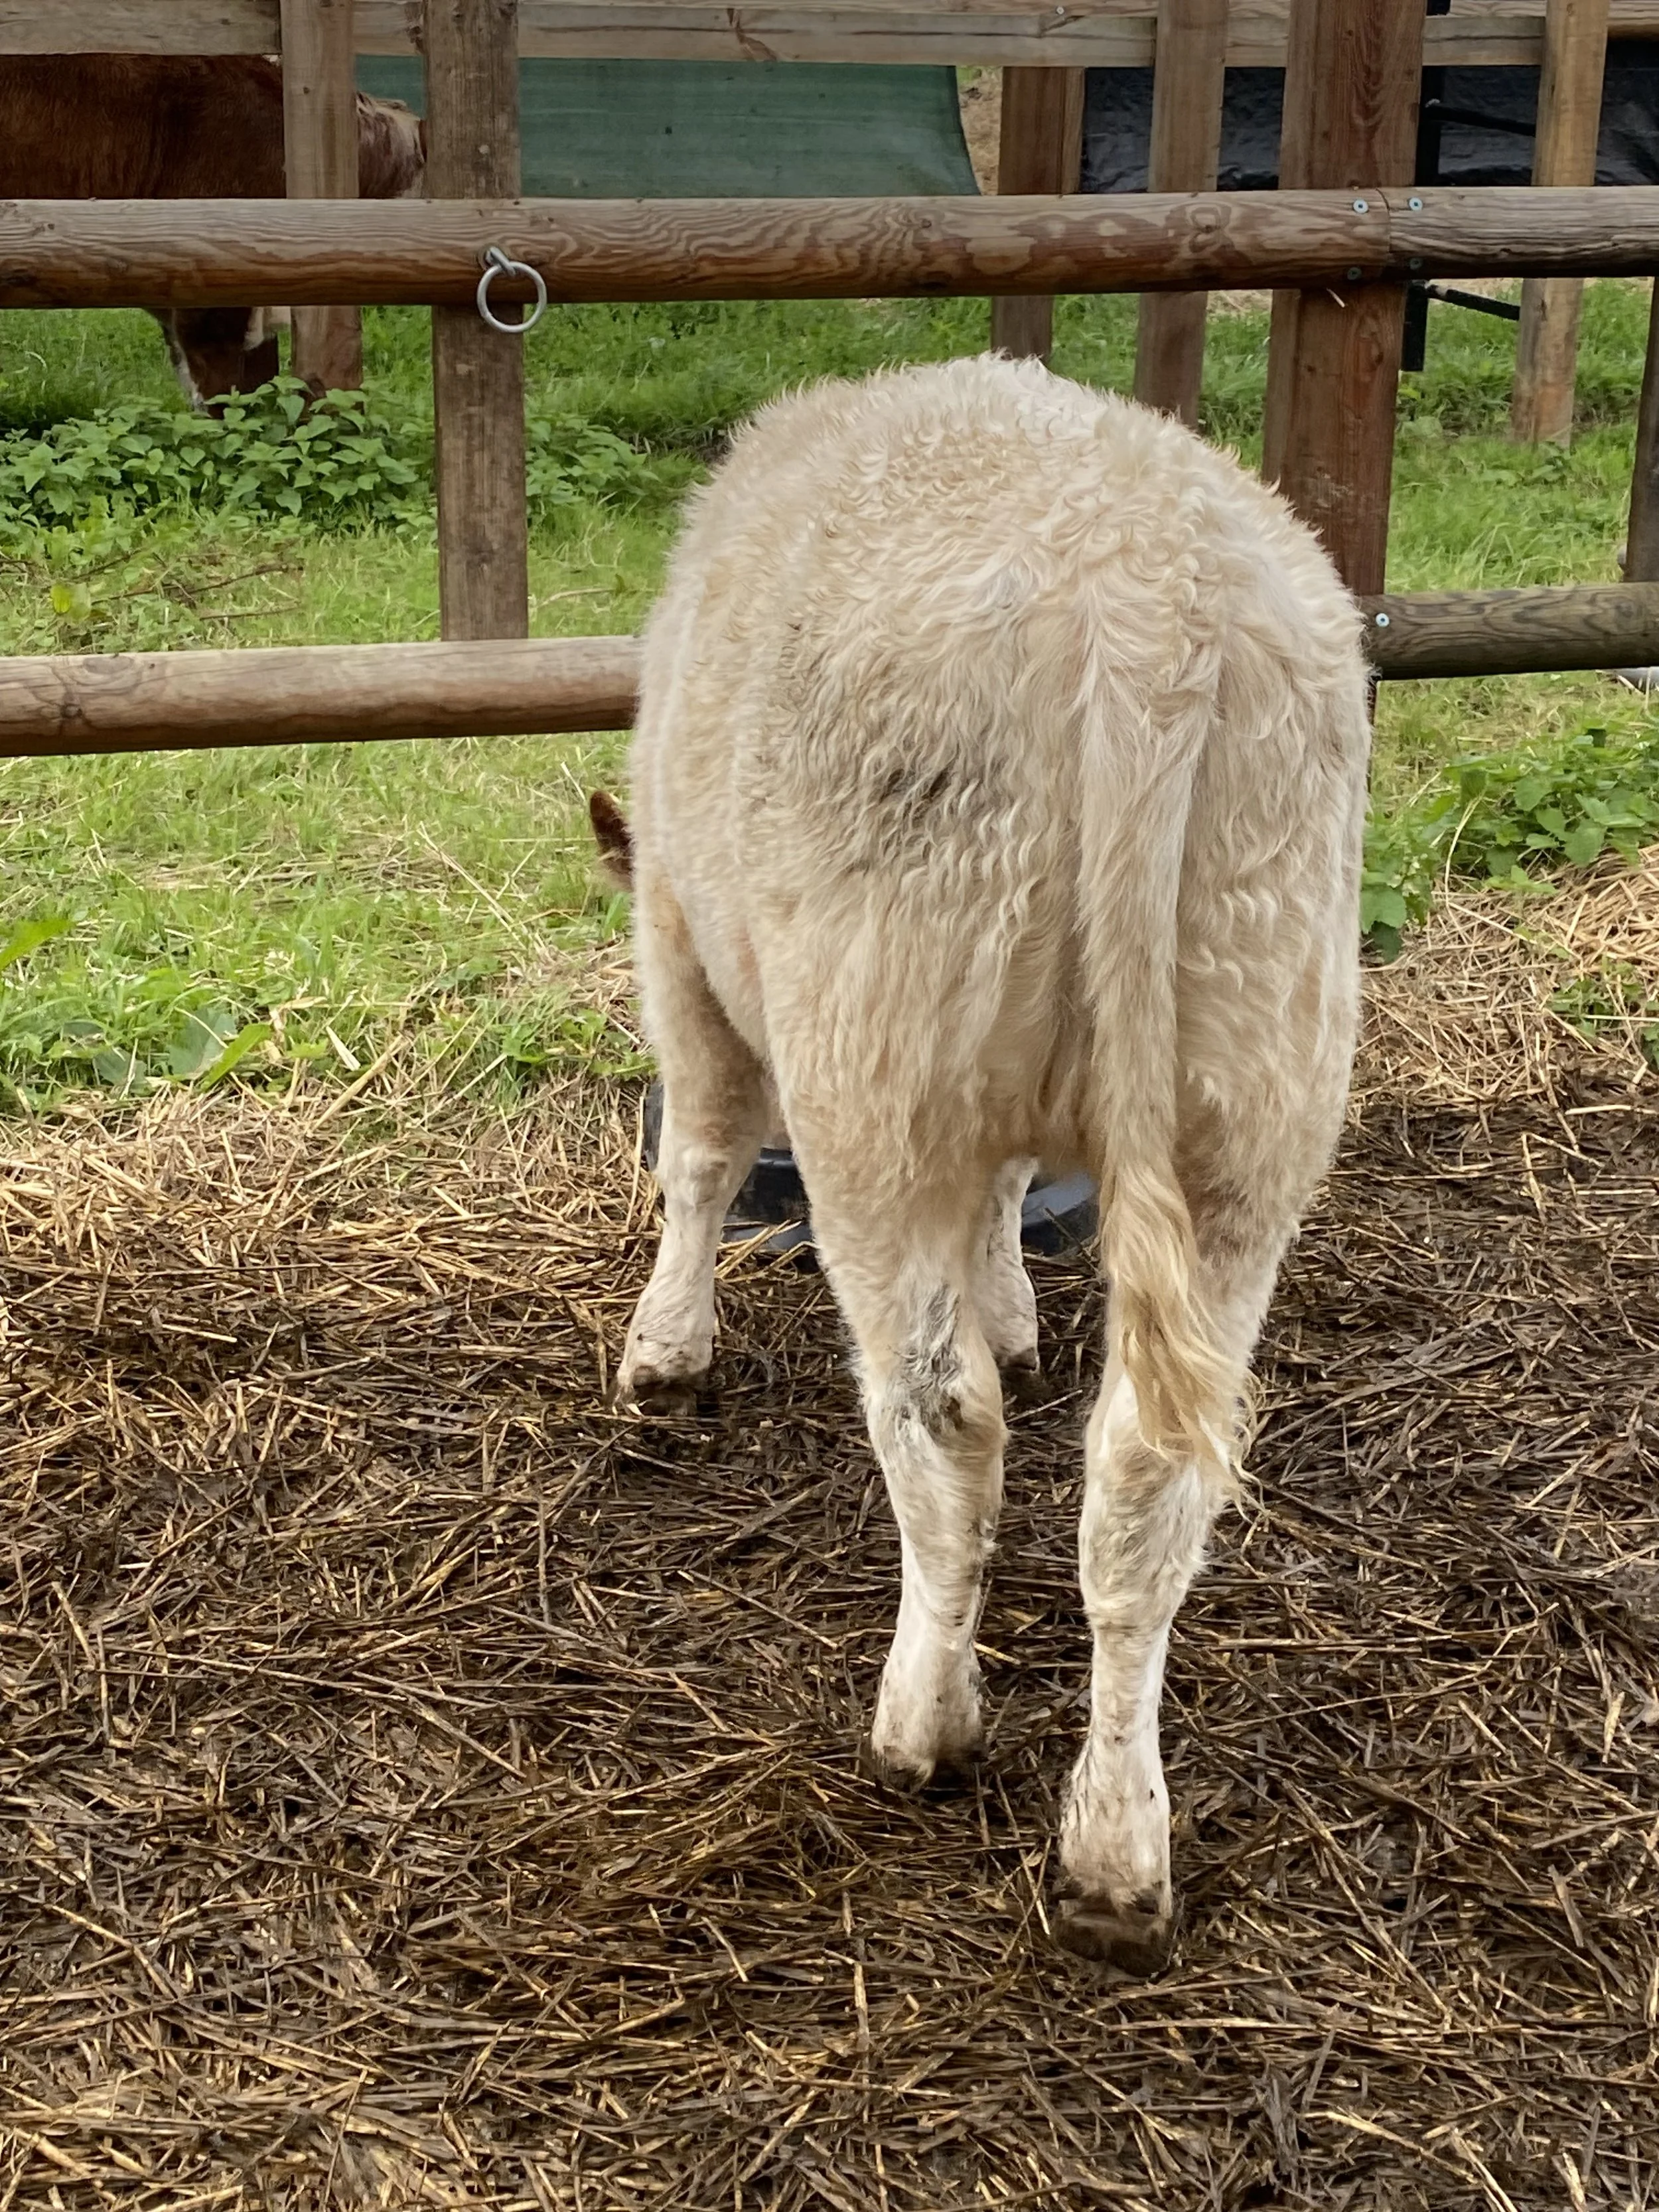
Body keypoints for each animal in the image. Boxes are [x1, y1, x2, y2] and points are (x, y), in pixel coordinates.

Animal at [607, 354, 1371, 1972]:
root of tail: (1144, 607)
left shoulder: (680, 941)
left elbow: (699, 1154)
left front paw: (664, 1351)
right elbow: (1013, 1200)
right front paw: (1018, 1310)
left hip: (879, 1058)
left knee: (941, 1422)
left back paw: (924, 1722)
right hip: (1253, 1070)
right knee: (1146, 1476)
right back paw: (1116, 1849)